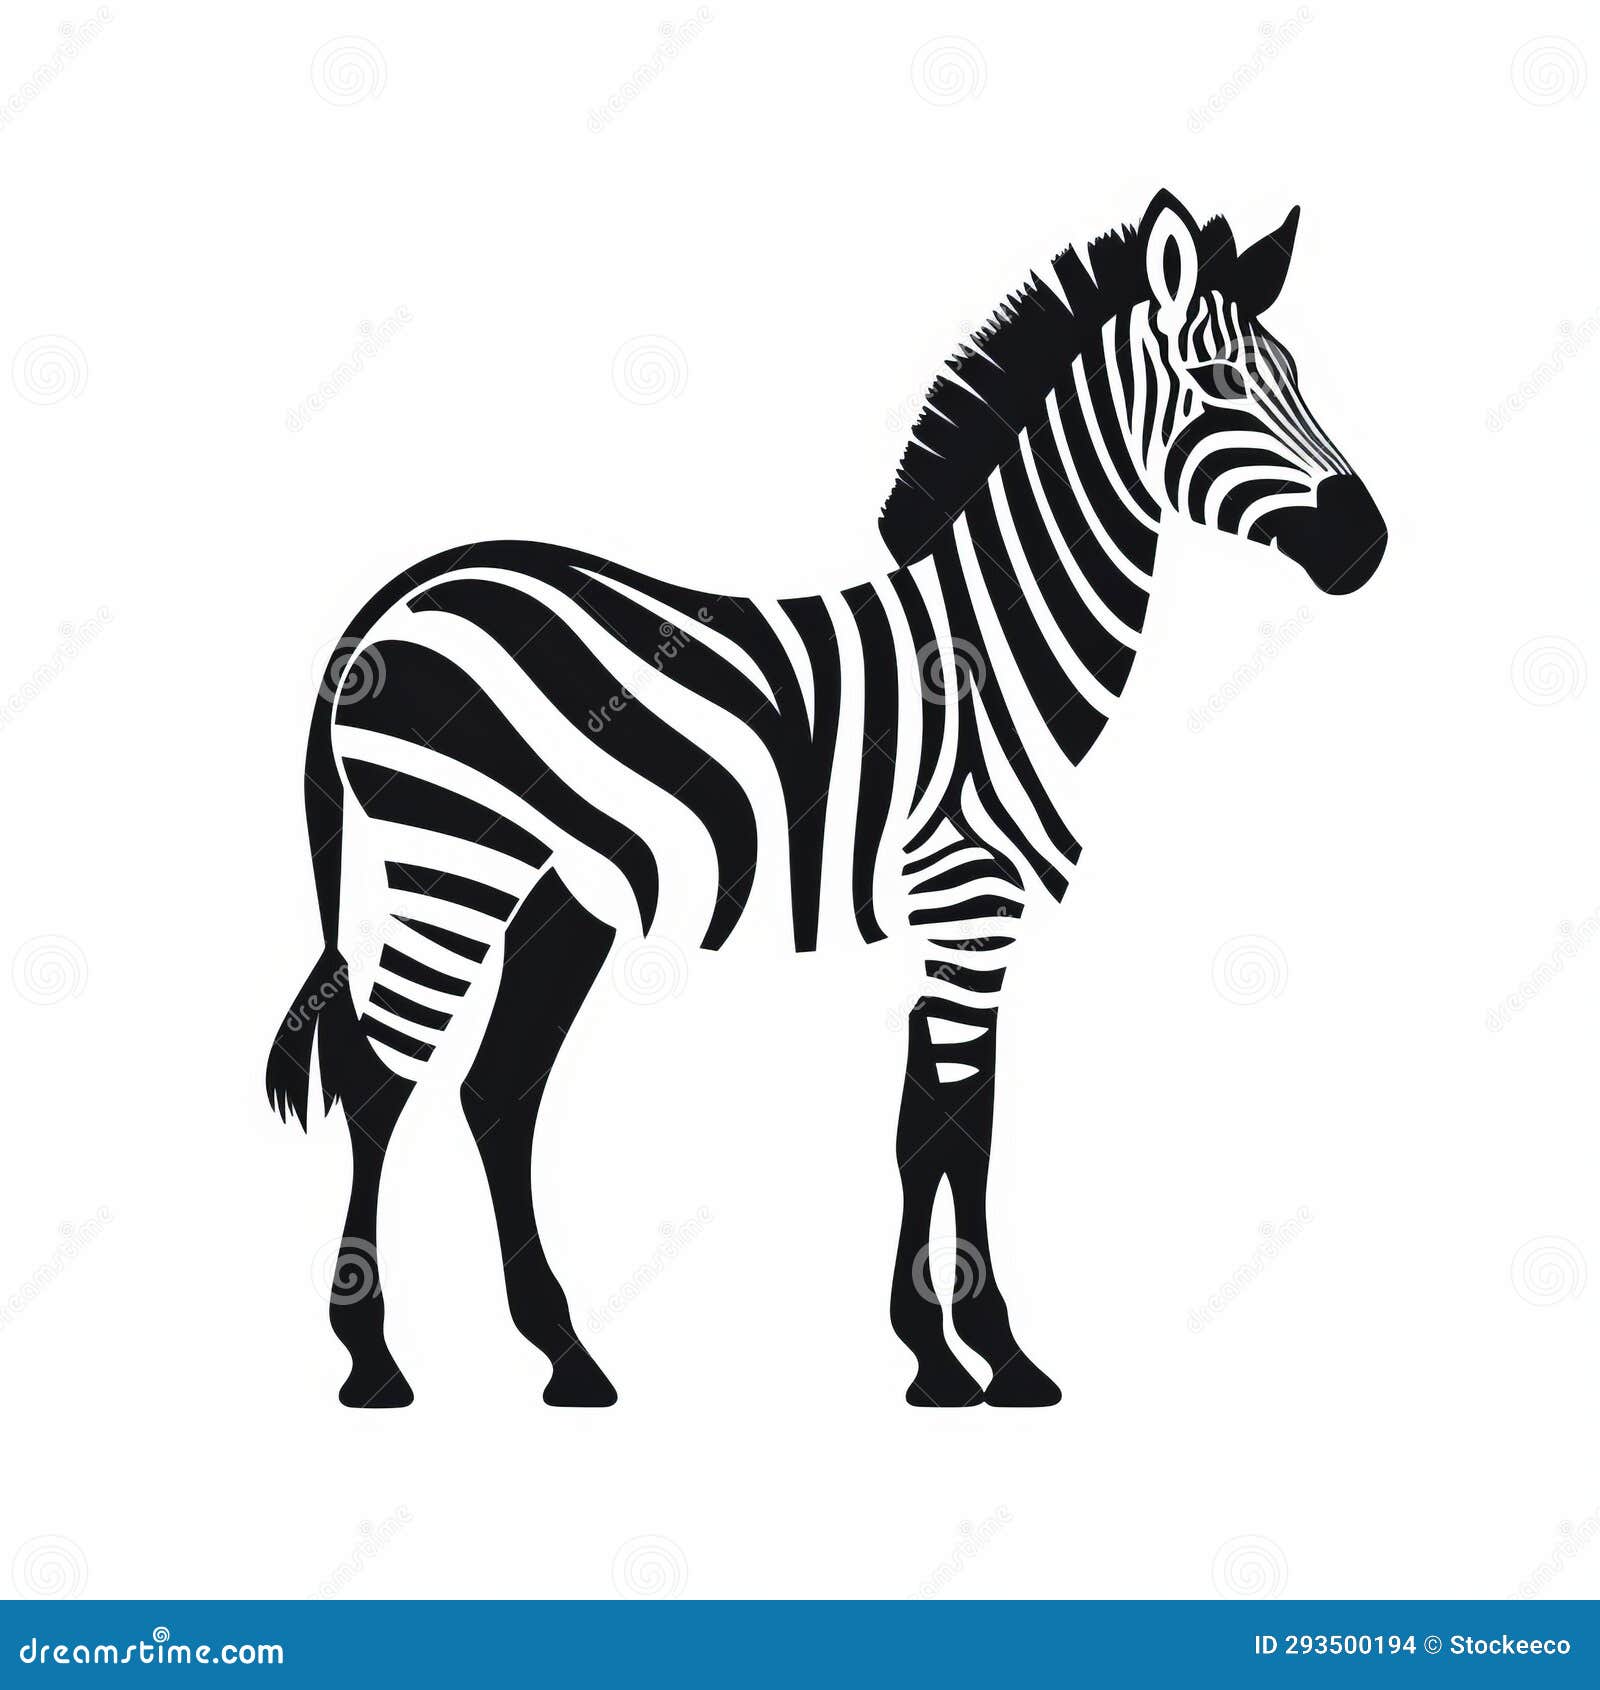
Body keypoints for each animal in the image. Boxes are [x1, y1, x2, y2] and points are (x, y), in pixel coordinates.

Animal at [265, 190, 1386, 1410]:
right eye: (1221, 384)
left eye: (1297, 375)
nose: (1367, 543)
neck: (995, 646)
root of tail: (397, 595)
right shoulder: (971, 903)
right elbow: (960, 1126)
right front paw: (989, 1355)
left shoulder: (953, 921)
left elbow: (927, 1124)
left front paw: (935, 1350)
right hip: (453, 858)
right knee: (378, 1082)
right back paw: (374, 1361)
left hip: (562, 894)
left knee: (497, 1091)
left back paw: (566, 1357)